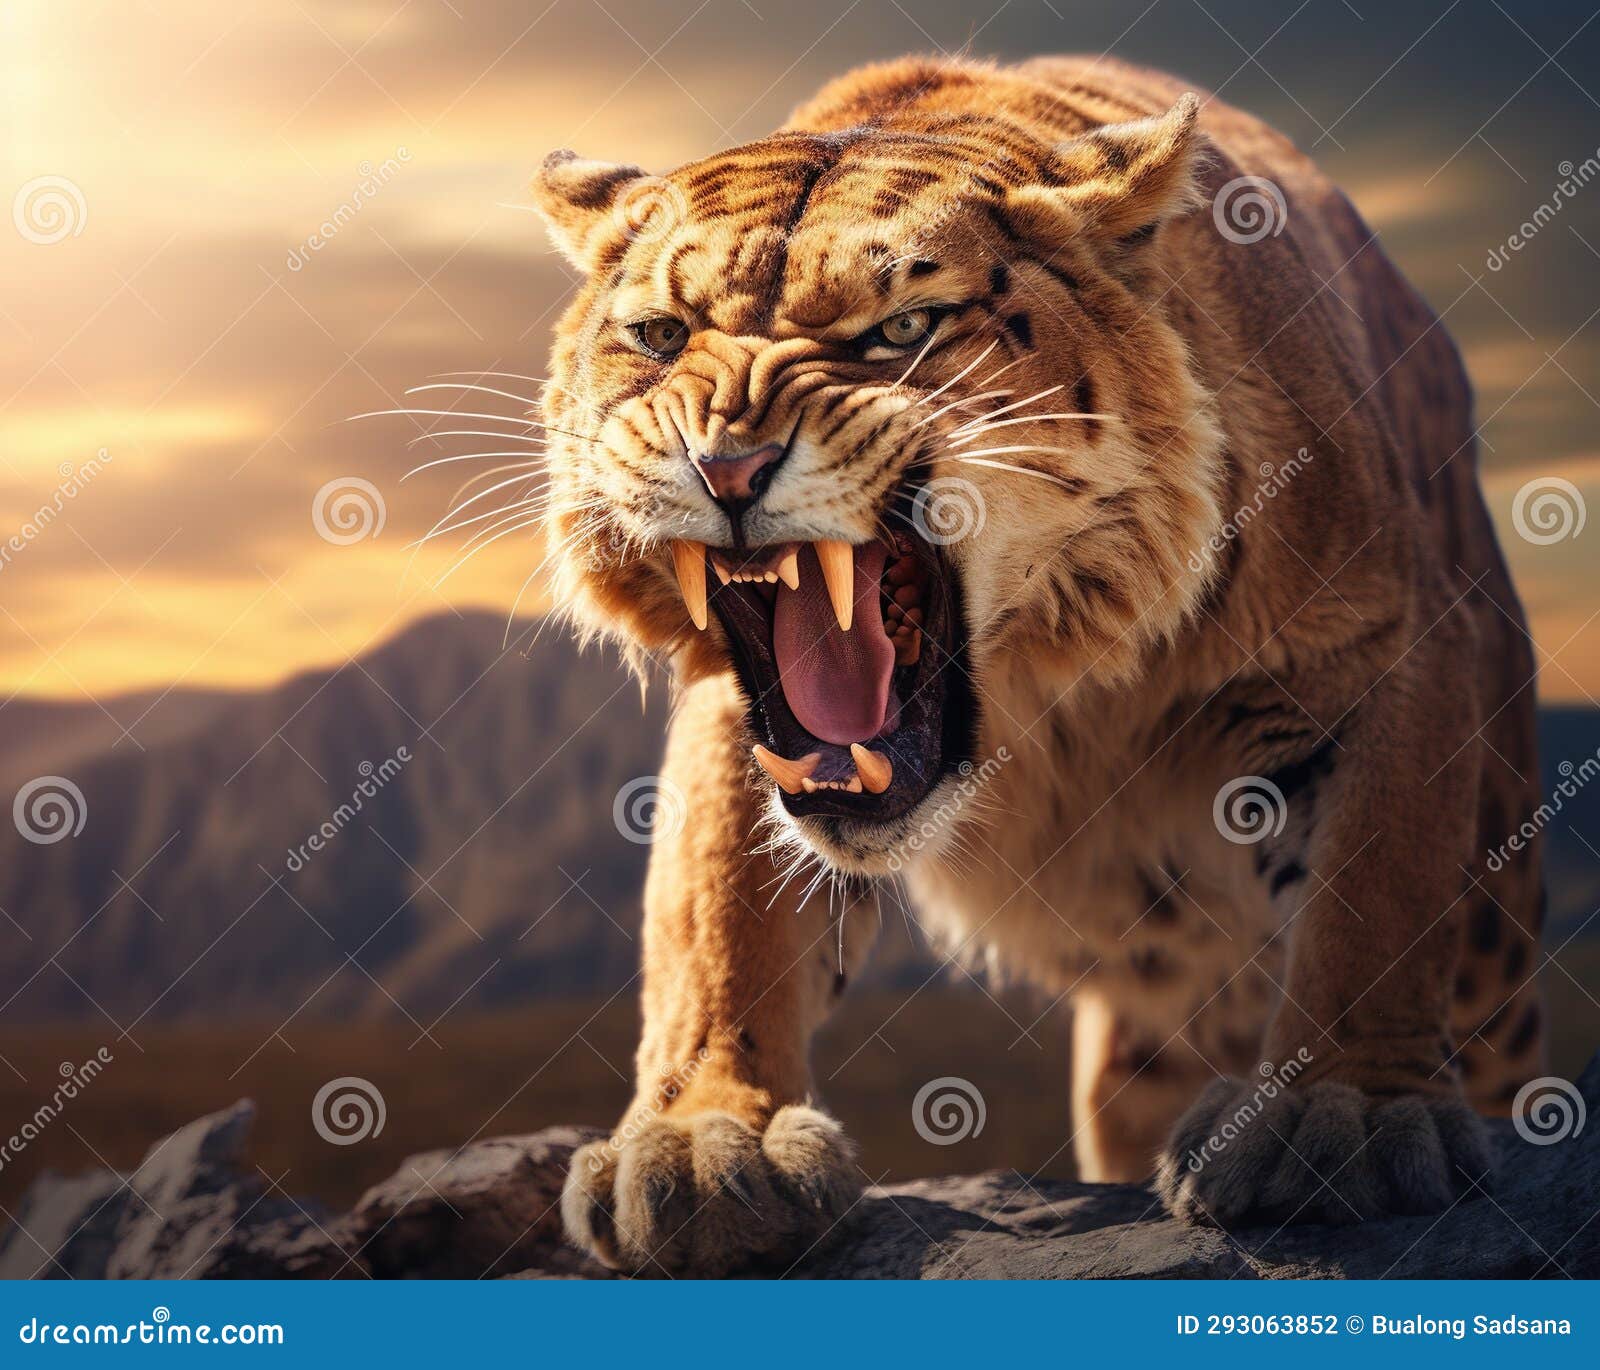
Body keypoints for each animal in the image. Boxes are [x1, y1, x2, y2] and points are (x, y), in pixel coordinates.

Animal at [527, 53, 1545, 1276]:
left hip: (1495, 941)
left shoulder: (1389, 645)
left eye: (904, 327)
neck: (1040, 678)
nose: (725, 465)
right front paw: (710, 1137)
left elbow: (1375, 888)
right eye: (662, 334)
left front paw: (1345, 1116)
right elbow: (718, 914)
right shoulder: (746, 715)